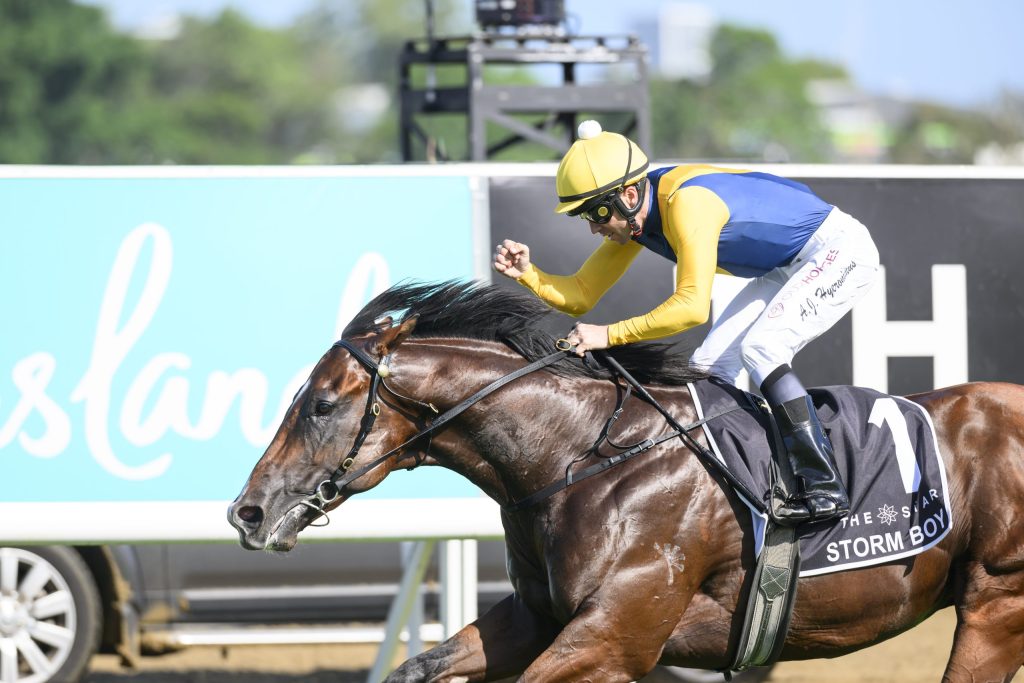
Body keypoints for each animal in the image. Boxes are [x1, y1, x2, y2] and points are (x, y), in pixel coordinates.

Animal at [228, 281, 1024, 682]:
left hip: (996, 601)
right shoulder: (537, 617)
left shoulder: (613, 638)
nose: (247, 511)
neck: (581, 459)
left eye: (321, 402)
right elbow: (421, 664)